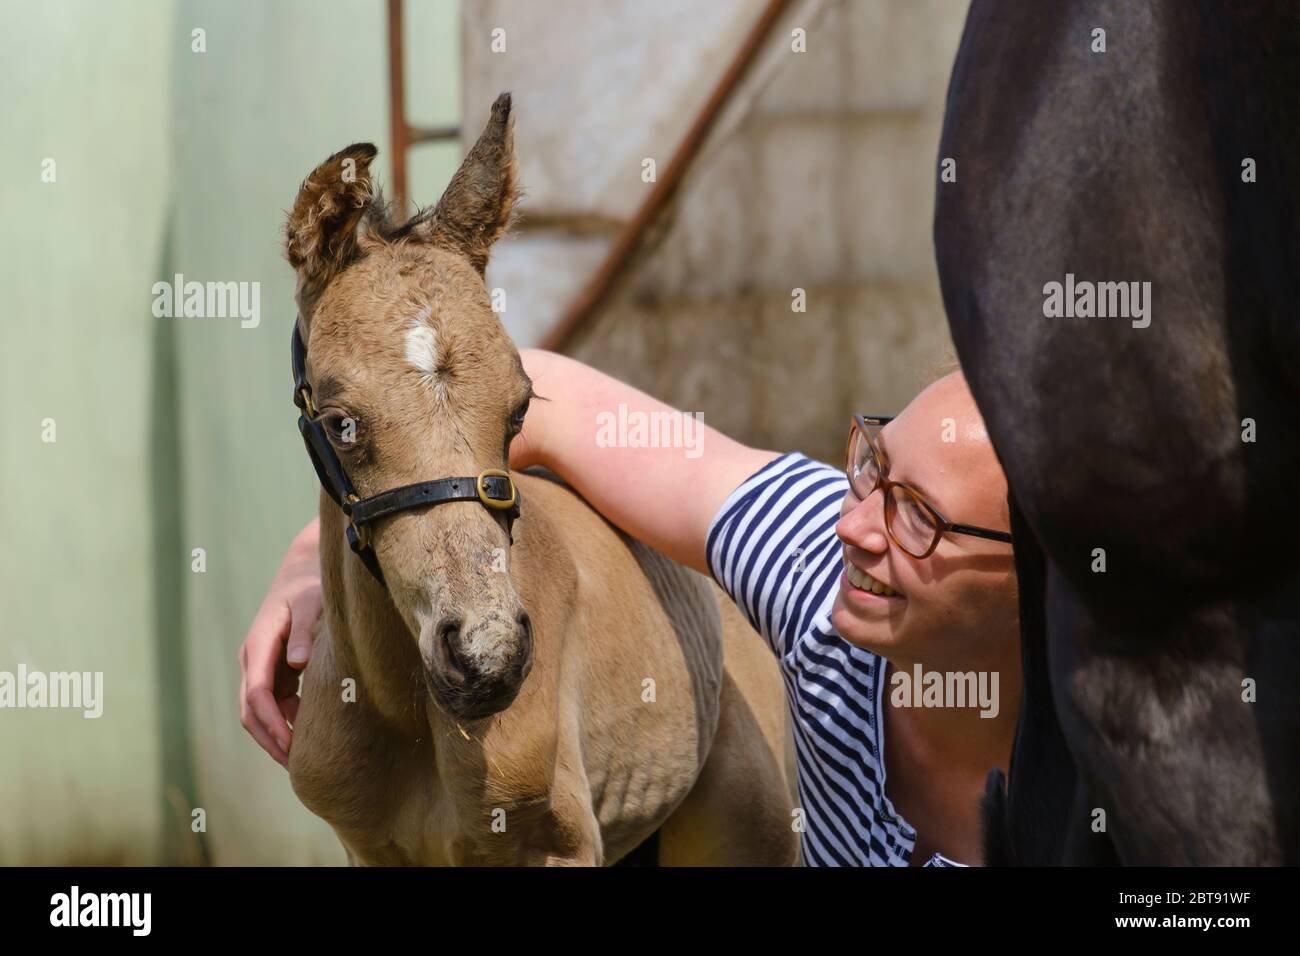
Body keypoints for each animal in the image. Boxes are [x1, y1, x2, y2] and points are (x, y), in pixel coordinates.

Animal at [281, 94, 797, 866]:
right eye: (341, 422)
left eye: (521, 407)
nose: (487, 657)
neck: (405, 714)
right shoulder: (367, 850)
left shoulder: (557, 844)